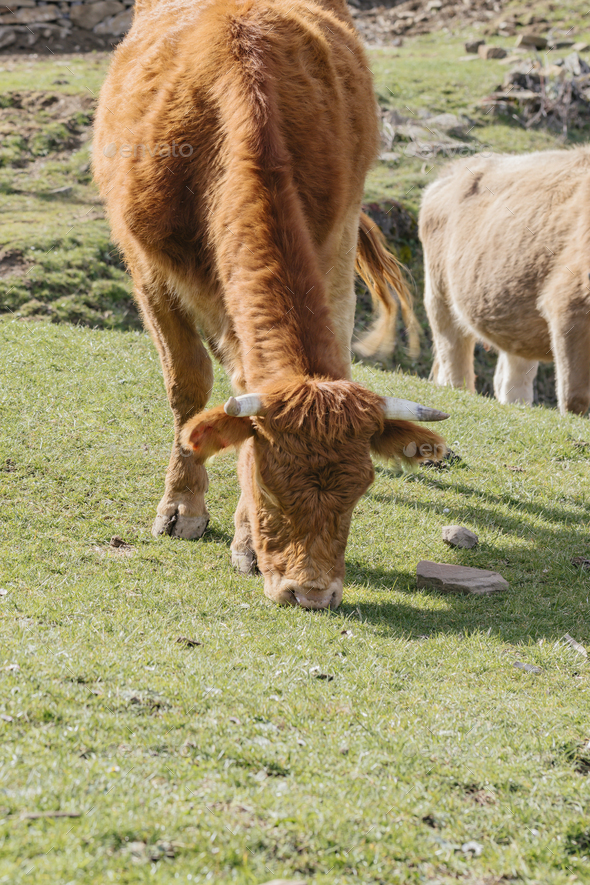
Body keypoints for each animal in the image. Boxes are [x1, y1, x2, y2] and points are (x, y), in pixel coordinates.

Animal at [93, 0, 448, 610]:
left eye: (360, 491)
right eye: (264, 478)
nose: (311, 593)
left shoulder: (330, 243)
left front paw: (244, 541)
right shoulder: (149, 270)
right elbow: (188, 387)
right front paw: (182, 506)